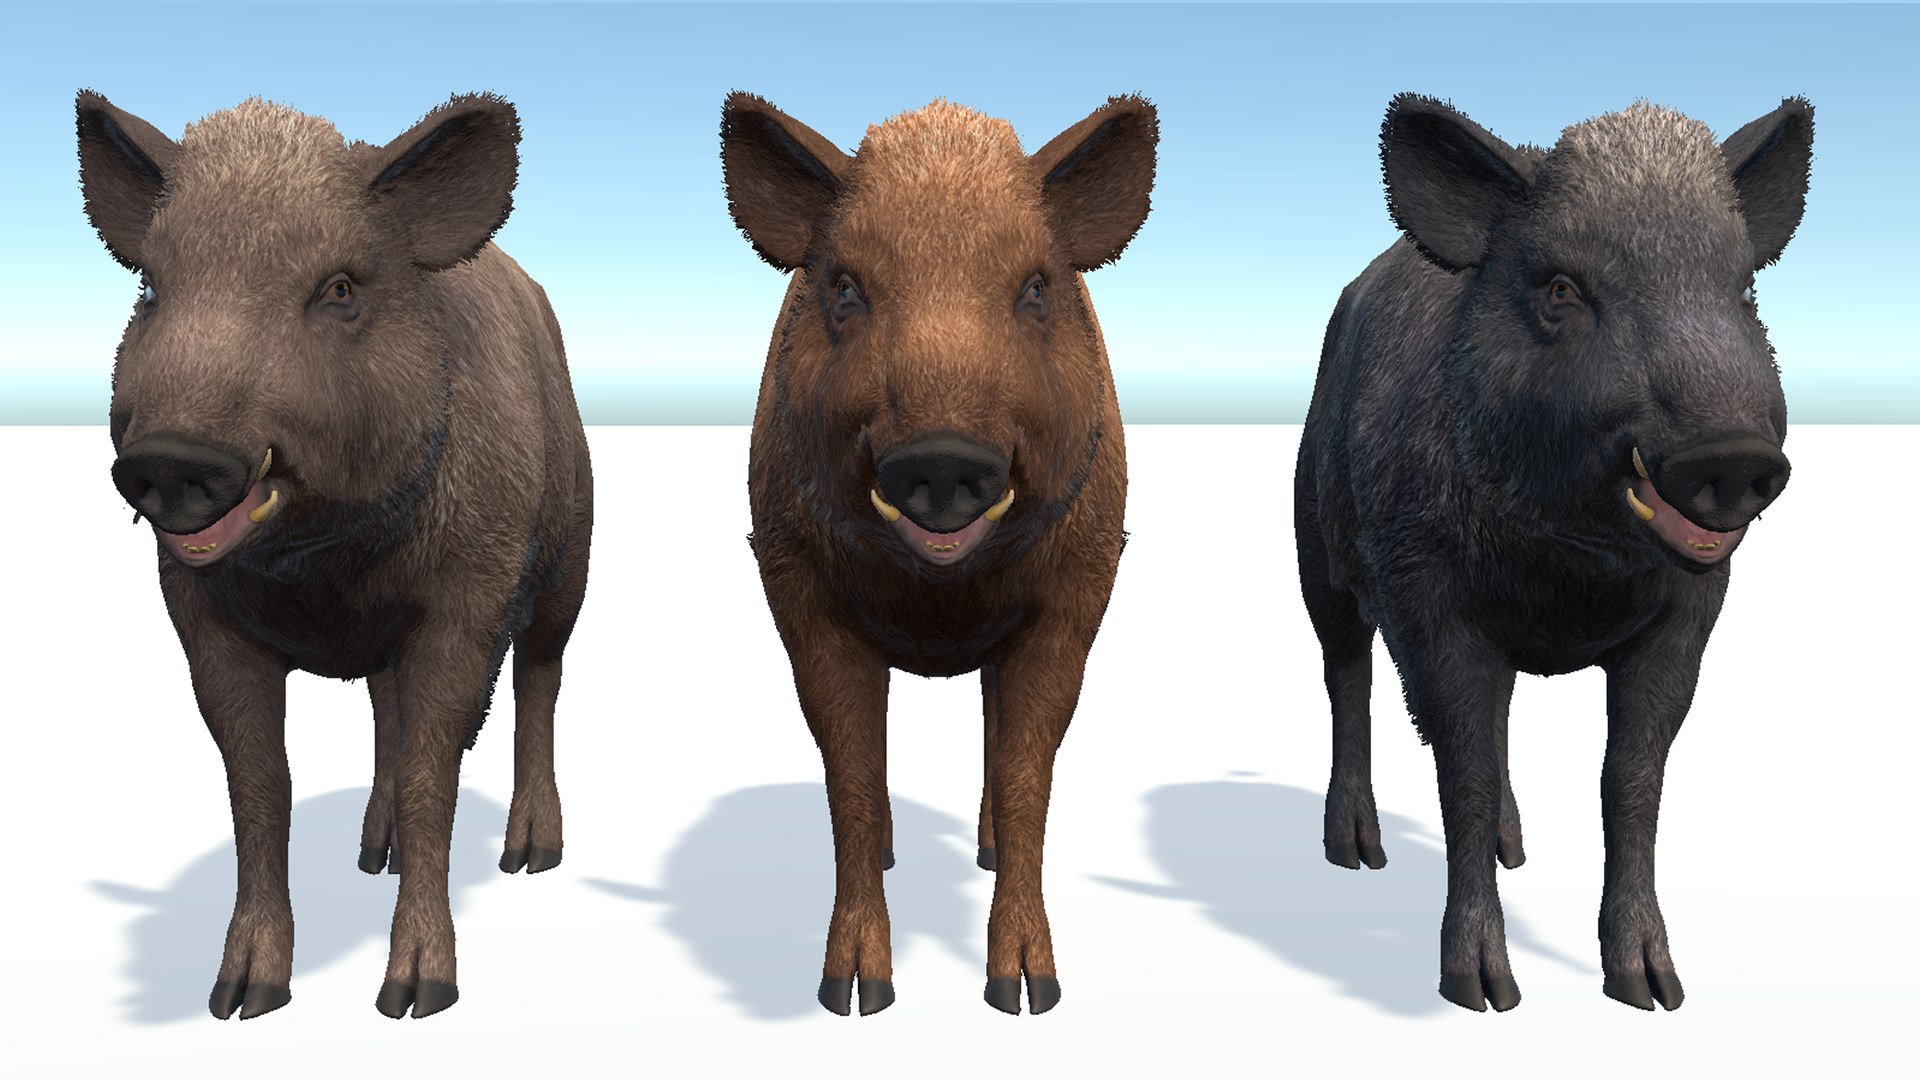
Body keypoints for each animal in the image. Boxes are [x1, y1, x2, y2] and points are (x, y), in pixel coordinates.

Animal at [77, 90, 593, 1020]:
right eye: (151, 289)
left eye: (341, 288)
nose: (170, 455)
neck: (326, 568)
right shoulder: (200, 618)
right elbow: (258, 783)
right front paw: (240, 997)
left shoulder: (467, 601)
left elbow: (433, 772)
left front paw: (416, 996)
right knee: (385, 706)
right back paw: (369, 854)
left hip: (572, 553)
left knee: (540, 677)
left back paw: (530, 855)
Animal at [720, 93, 1155, 1016]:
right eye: (846, 287)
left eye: (1036, 288)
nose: (944, 455)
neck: (939, 600)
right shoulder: (796, 586)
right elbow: (848, 770)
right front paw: (854, 995)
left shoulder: (1080, 589)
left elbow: (1029, 770)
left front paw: (1026, 993)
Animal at [1295, 94, 1811, 1012]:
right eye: (1562, 289)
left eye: (1743, 289)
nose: (1731, 450)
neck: (1569, 575)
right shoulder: (1426, 594)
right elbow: (1459, 767)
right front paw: (1482, 993)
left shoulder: (1690, 612)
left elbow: (1631, 775)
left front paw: (1652, 989)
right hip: (1315, 550)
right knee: (1347, 676)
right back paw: (1356, 852)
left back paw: (1516, 848)